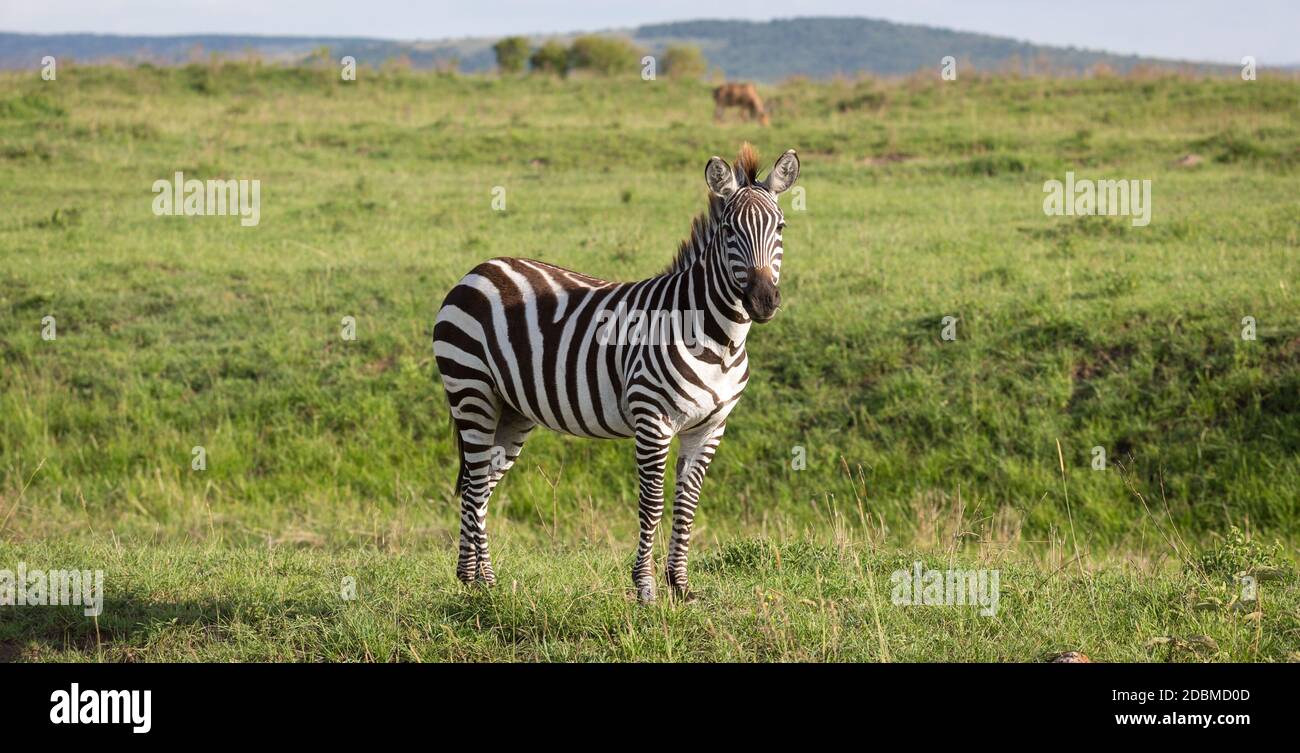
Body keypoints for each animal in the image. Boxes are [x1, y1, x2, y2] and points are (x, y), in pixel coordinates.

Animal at [433, 143, 800, 602]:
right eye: (730, 230)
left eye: (781, 227)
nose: (764, 301)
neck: (720, 341)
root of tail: (479, 269)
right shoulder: (653, 420)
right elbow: (652, 504)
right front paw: (645, 588)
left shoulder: (710, 427)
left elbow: (687, 505)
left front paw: (680, 586)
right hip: (471, 389)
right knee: (477, 478)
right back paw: (485, 581)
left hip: (511, 410)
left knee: (479, 485)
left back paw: (474, 578)